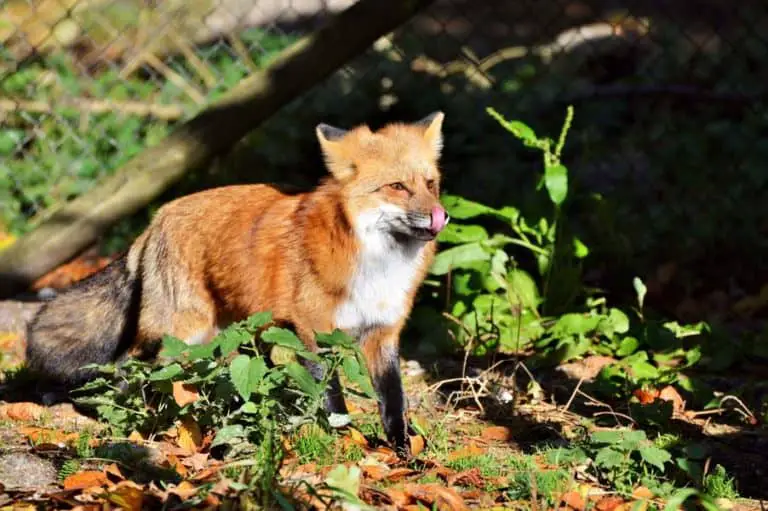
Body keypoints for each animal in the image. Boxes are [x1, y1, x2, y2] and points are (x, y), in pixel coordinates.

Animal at [25, 112, 450, 457]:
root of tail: (158, 215)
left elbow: (393, 402)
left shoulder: (383, 334)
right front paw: (342, 444)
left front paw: (404, 451)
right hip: (181, 331)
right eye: (397, 186)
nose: (441, 216)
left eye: (431, 184)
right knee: (132, 367)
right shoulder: (314, 331)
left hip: (235, 334)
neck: (377, 266)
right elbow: (330, 399)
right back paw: (134, 420)